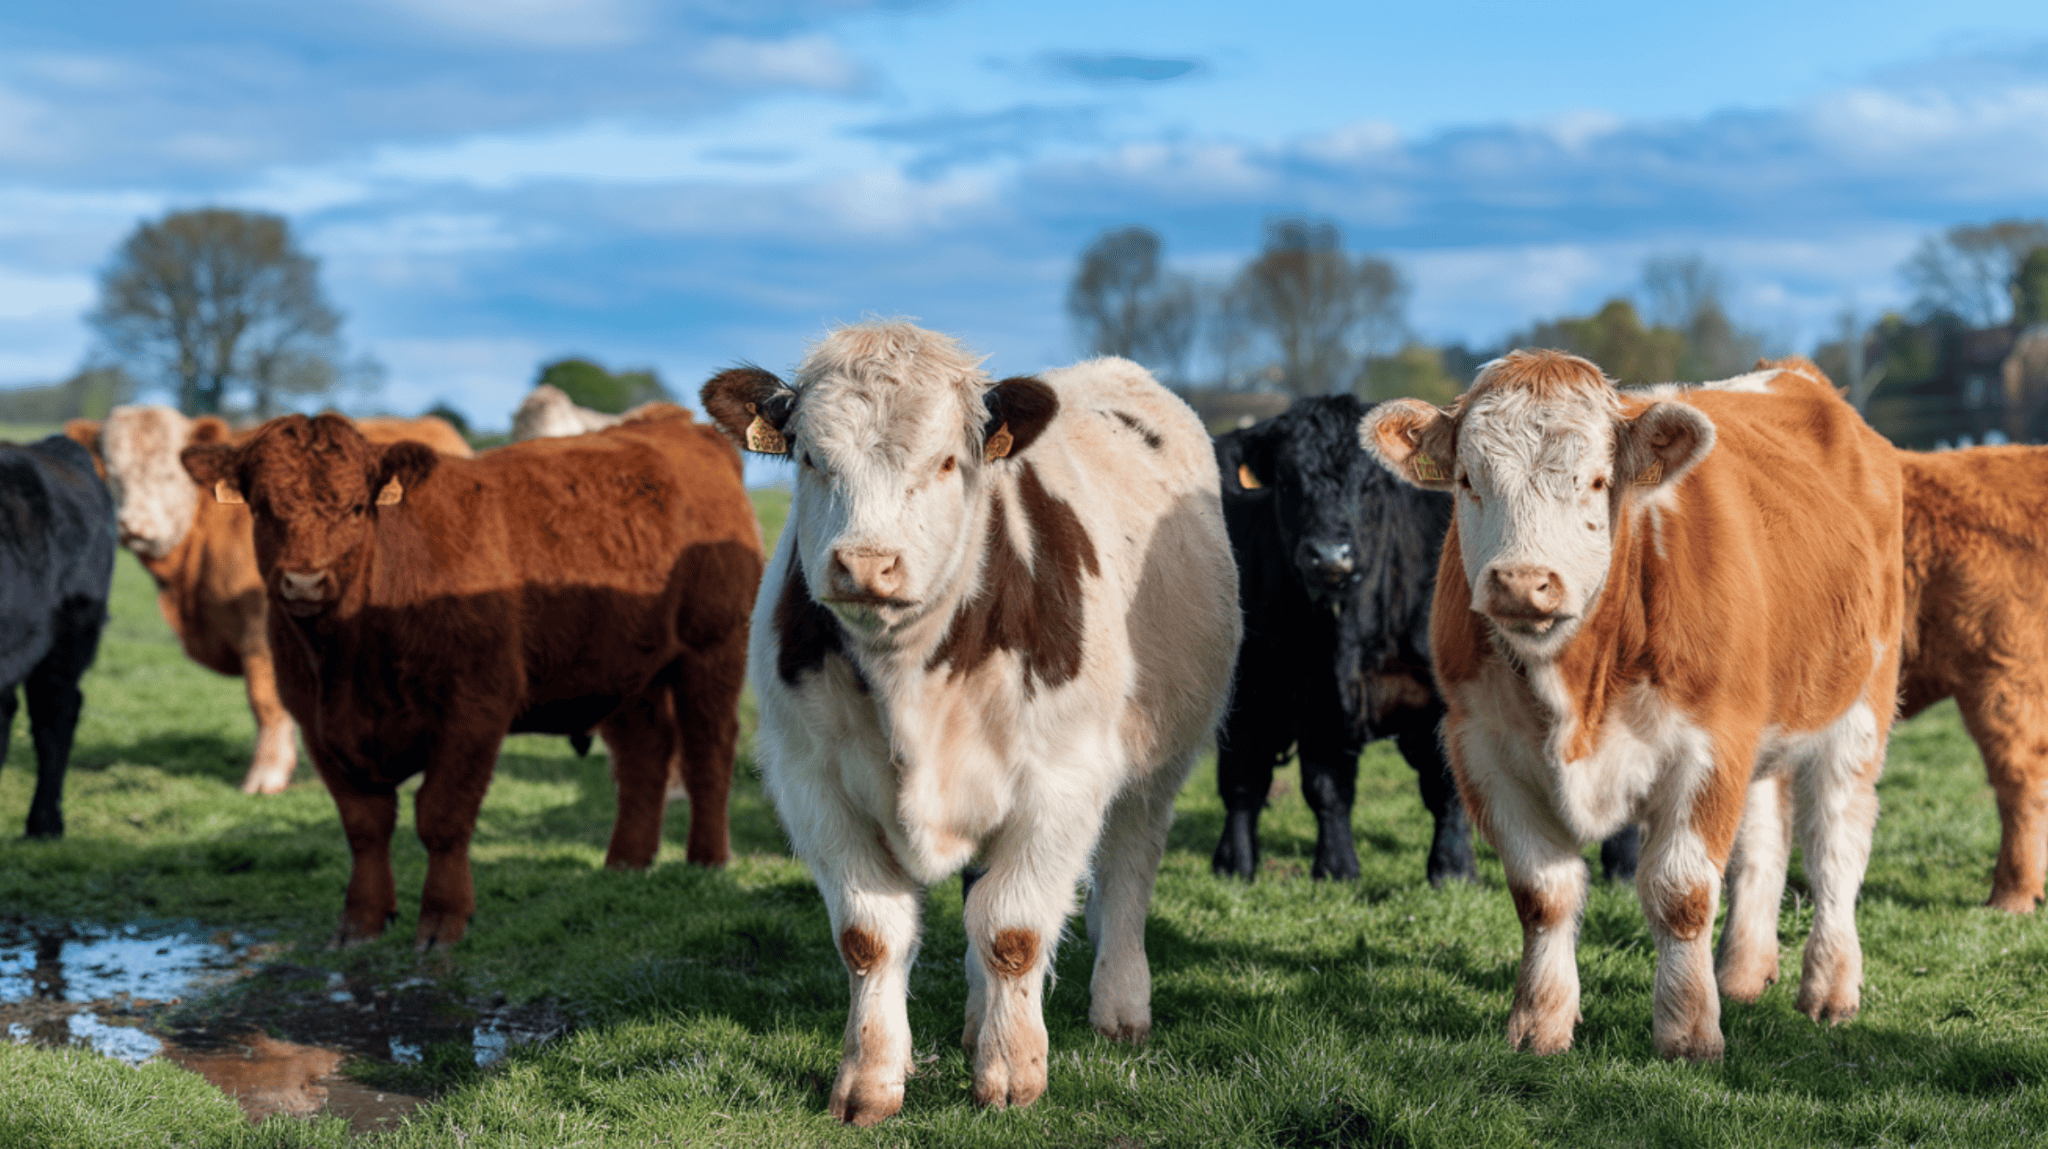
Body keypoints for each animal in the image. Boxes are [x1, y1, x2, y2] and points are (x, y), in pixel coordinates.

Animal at [63, 407, 473, 794]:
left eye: (168, 474)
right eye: (114, 474)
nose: (134, 526)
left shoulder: (260, 624)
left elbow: (265, 698)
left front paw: (267, 774)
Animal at [178, 407, 760, 950]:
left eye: (356, 507)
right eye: (262, 507)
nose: (304, 581)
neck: (349, 654)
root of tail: (673, 425)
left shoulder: (475, 708)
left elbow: (442, 816)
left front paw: (443, 921)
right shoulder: (316, 722)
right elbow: (365, 825)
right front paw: (361, 922)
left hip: (713, 649)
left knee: (709, 752)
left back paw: (708, 861)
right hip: (628, 673)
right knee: (644, 759)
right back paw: (625, 864)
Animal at [700, 321, 1239, 1124]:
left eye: (948, 460)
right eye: (809, 456)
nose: (866, 565)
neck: (909, 682)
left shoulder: (1063, 781)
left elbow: (1013, 931)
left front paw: (1012, 1074)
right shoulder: (811, 783)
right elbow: (870, 935)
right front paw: (871, 1078)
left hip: (1157, 762)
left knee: (1127, 871)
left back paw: (1120, 1007)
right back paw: (974, 1021)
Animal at [1211, 397, 1643, 887]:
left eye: (1373, 484)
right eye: (1286, 481)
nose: (1329, 555)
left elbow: (1445, 786)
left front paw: (1453, 869)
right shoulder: (1300, 692)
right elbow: (1313, 785)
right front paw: (1326, 868)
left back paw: (1623, 866)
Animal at [1358, 352, 1902, 1061]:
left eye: (1595, 481)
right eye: (1467, 480)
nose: (1522, 582)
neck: (1575, 693)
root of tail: (1795, 374)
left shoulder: (1709, 745)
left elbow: (1681, 892)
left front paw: (1688, 1031)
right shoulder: (1482, 749)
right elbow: (1543, 894)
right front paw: (1540, 1023)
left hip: (1858, 708)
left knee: (1835, 845)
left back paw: (1831, 988)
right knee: (1763, 843)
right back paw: (1742, 972)